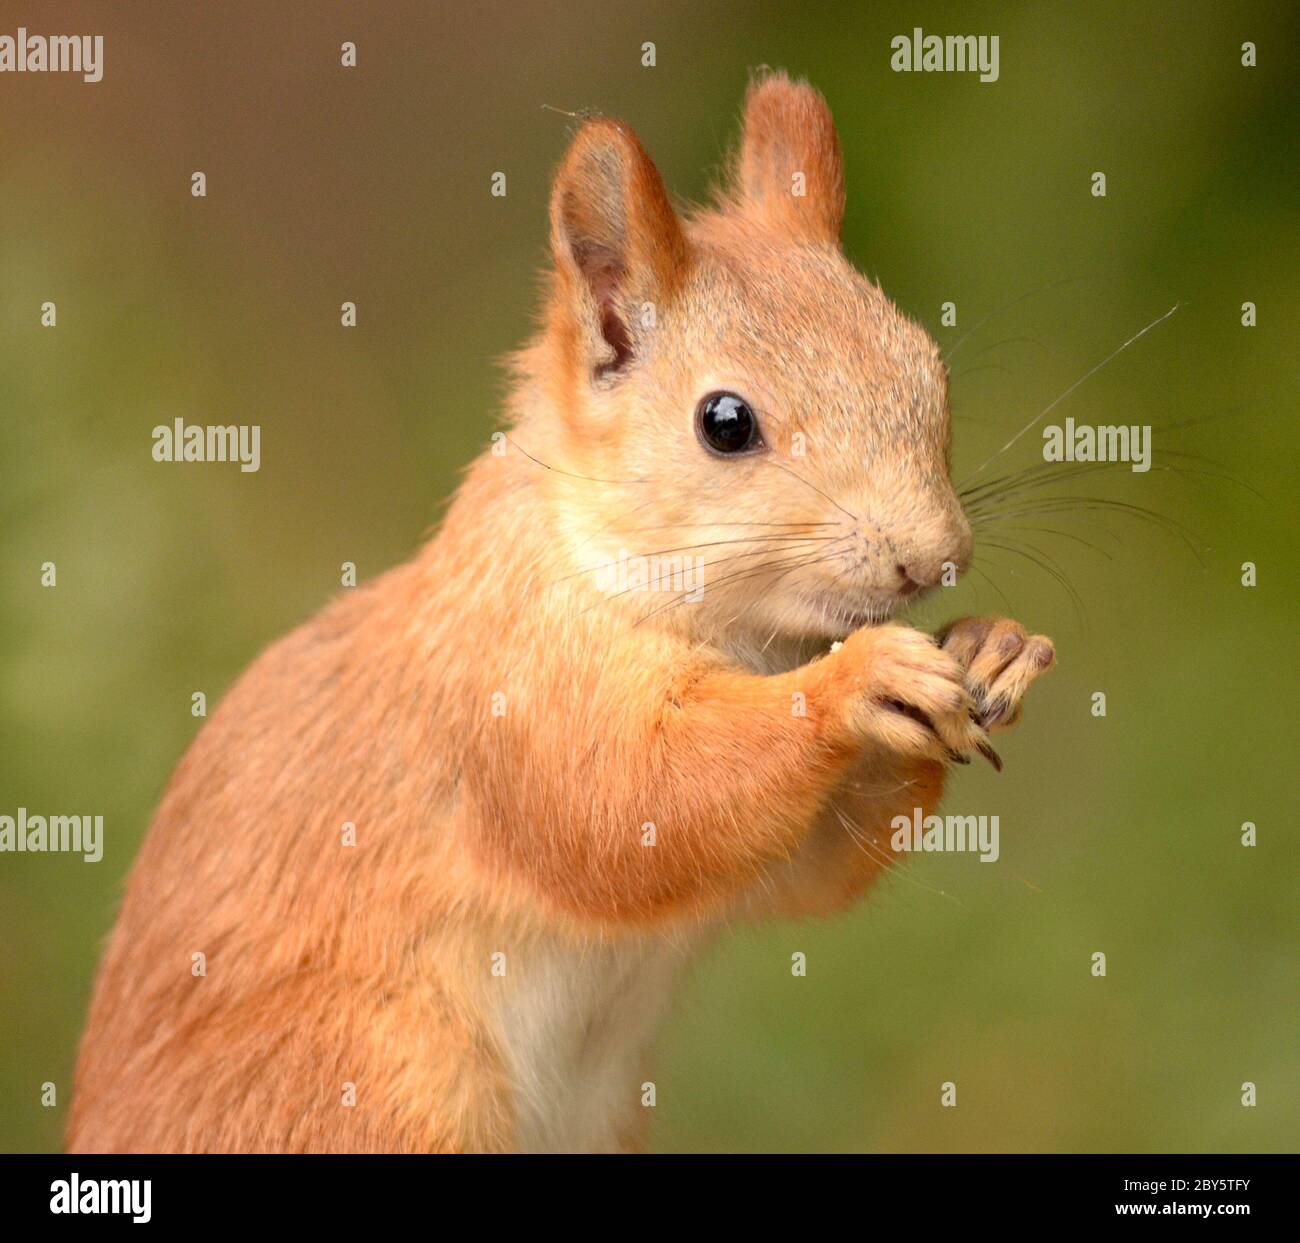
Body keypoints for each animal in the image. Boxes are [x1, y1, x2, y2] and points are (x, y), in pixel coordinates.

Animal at [67, 72, 1054, 1154]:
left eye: (928, 368)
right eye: (725, 423)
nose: (934, 556)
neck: (744, 636)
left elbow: (810, 867)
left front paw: (990, 647)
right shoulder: (516, 676)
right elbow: (625, 804)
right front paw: (859, 681)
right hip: (375, 1079)